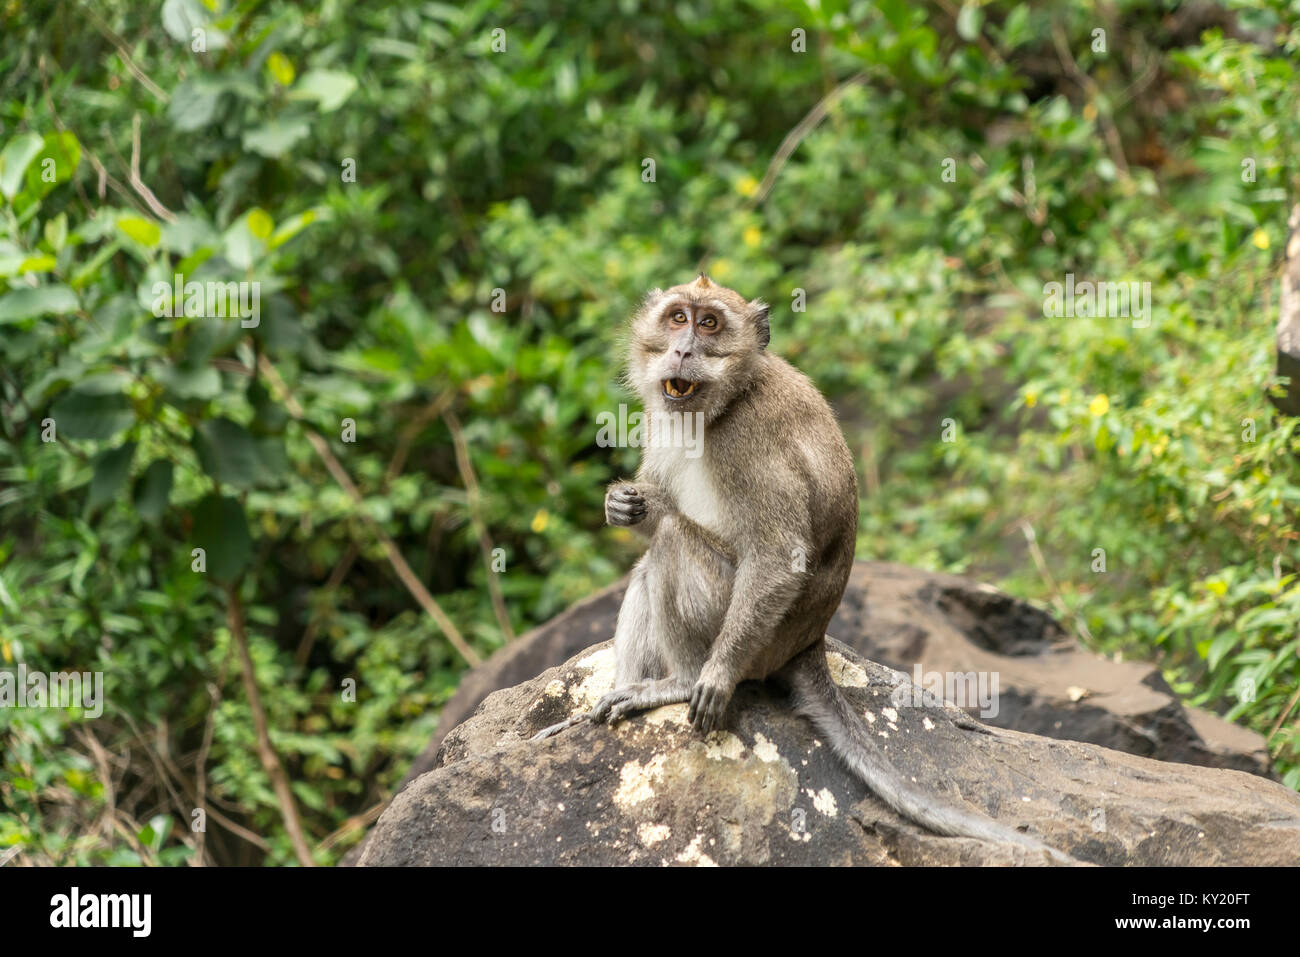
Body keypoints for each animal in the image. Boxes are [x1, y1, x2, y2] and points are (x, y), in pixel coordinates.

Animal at [535, 274, 1066, 860]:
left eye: (709, 324)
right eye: (677, 318)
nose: (683, 350)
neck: (724, 401)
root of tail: (810, 641)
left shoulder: (750, 443)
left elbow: (778, 557)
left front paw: (713, 677)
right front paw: (623, 504)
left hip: (757, 640)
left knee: (674, 546)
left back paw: (678, 682)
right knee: (648, 567)